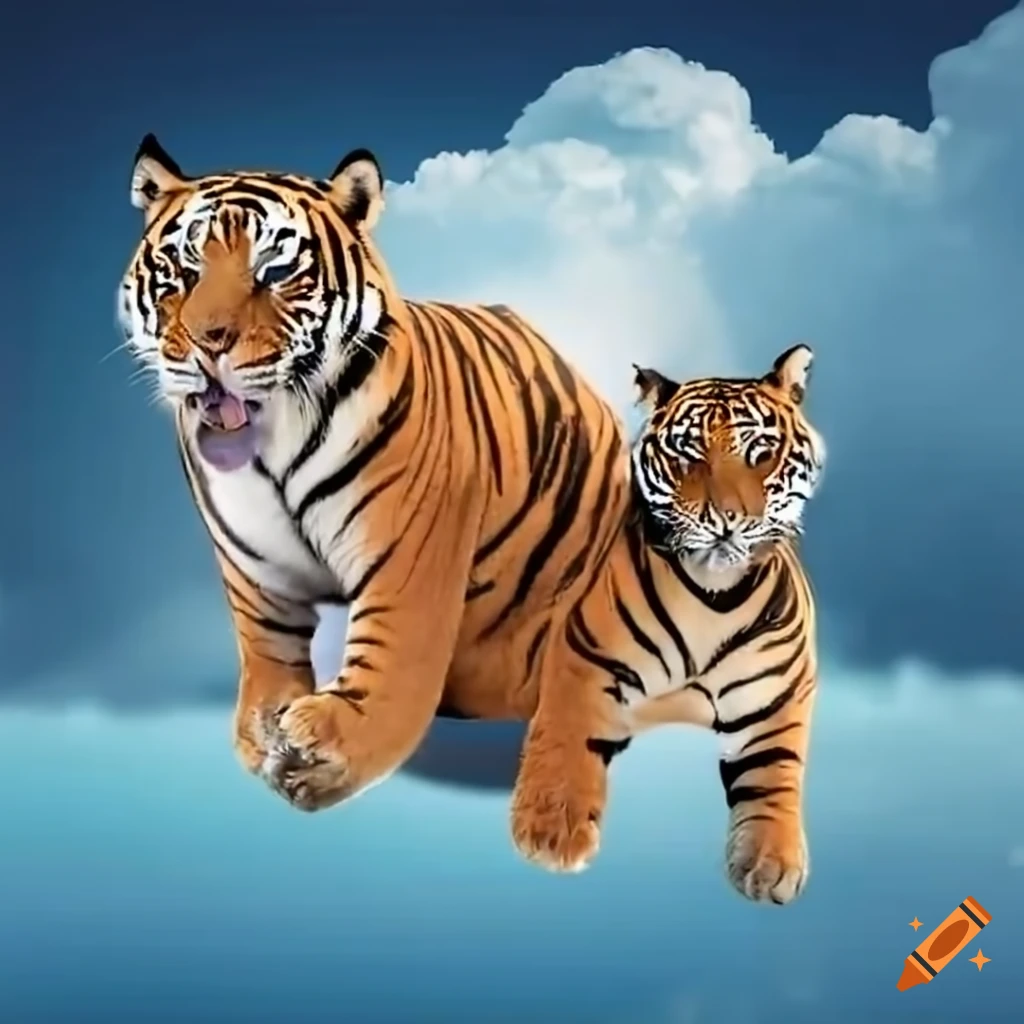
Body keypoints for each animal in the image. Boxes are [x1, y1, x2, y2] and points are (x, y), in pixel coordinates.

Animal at [117, 134, 635, 867]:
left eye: (274, 272)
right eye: (182, 271)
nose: (208, 342)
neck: (269, 449)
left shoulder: (408, 556)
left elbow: (391, 659)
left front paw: (326, 749)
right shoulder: (252, 566)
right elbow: (266, 648)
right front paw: (263, 731)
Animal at [537, 346, 827, 903]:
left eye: (760, 451)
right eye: (687, 453)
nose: (727, 519)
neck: (716, 594)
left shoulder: (779, 691)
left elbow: (774, 771)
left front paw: (772, 865)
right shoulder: (586, 653)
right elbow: (567, 741)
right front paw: (552, 835)